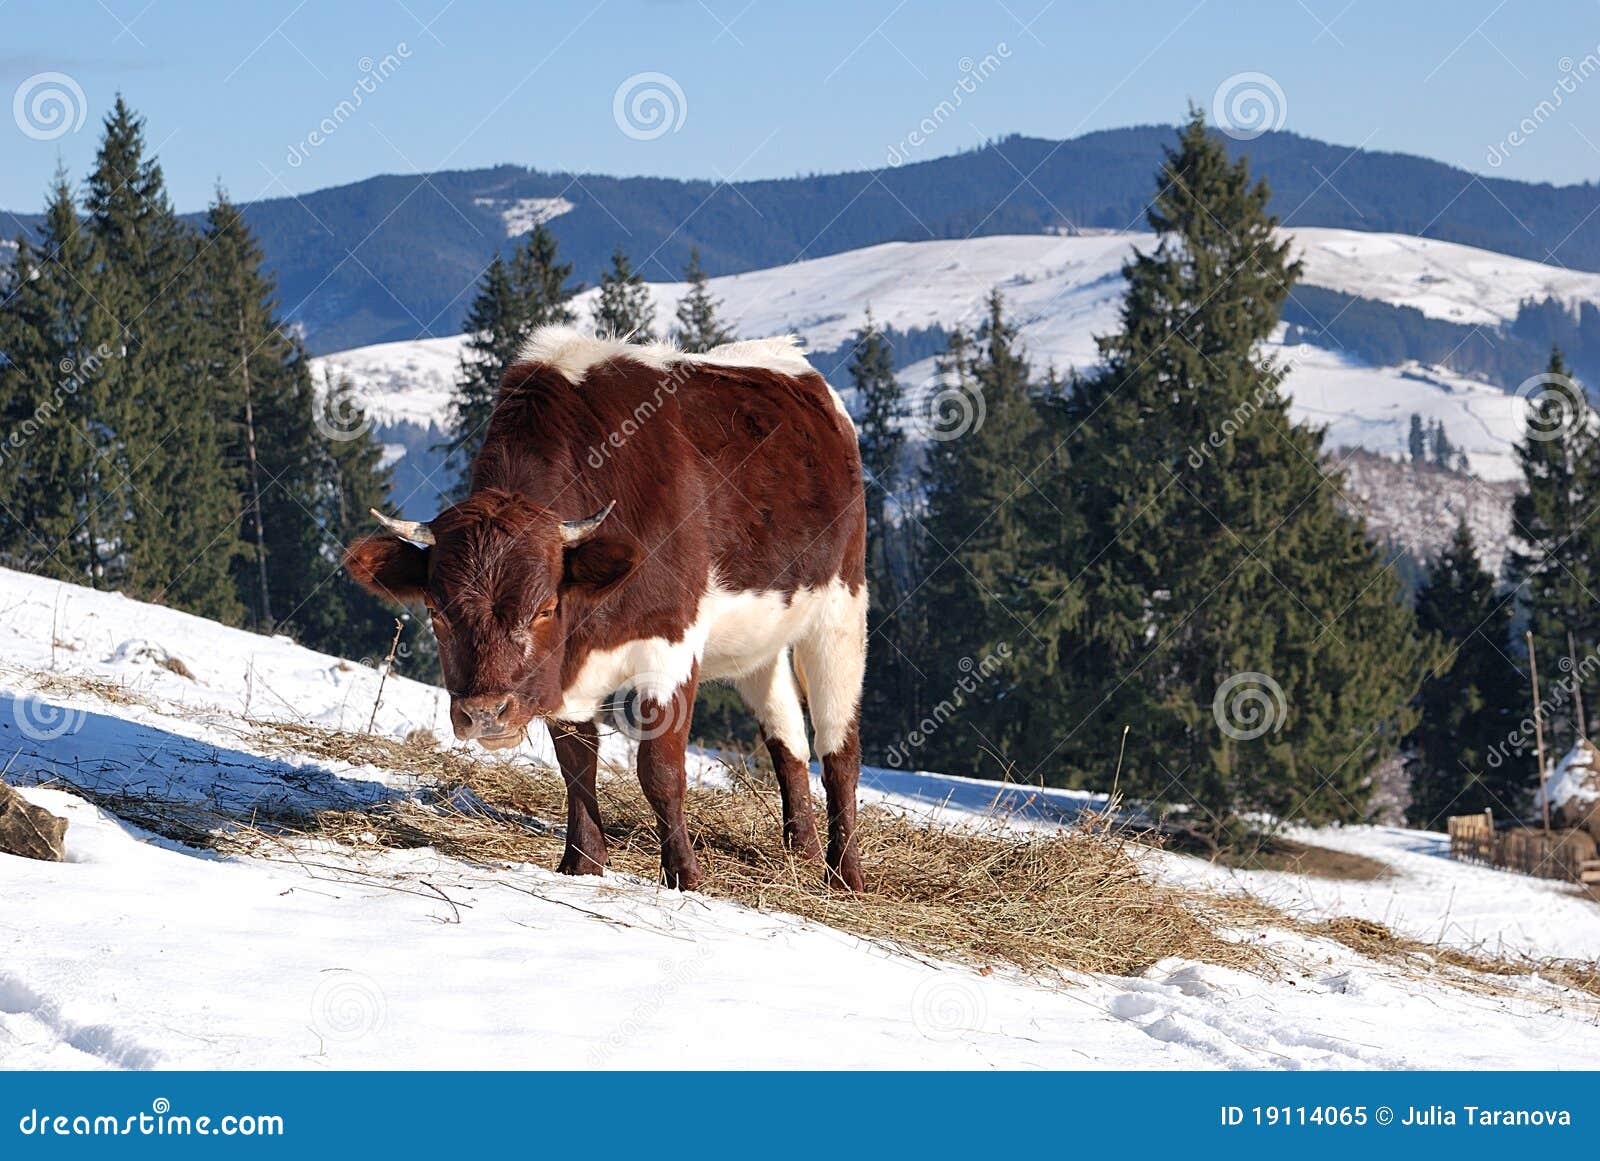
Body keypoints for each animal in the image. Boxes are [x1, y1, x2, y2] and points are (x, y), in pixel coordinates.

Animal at [344, 325, 868, 892]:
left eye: (545, 608)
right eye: (437, 613)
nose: (484, 714)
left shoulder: (670, 642)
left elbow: (659, 768)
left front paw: (684, 875)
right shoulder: (562, 671)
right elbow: (576, 760)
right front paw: (583, 862)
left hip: (840, 608)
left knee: (839, 747)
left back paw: (845, 875)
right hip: (761, 639)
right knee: (788, 740)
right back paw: (803, 856)